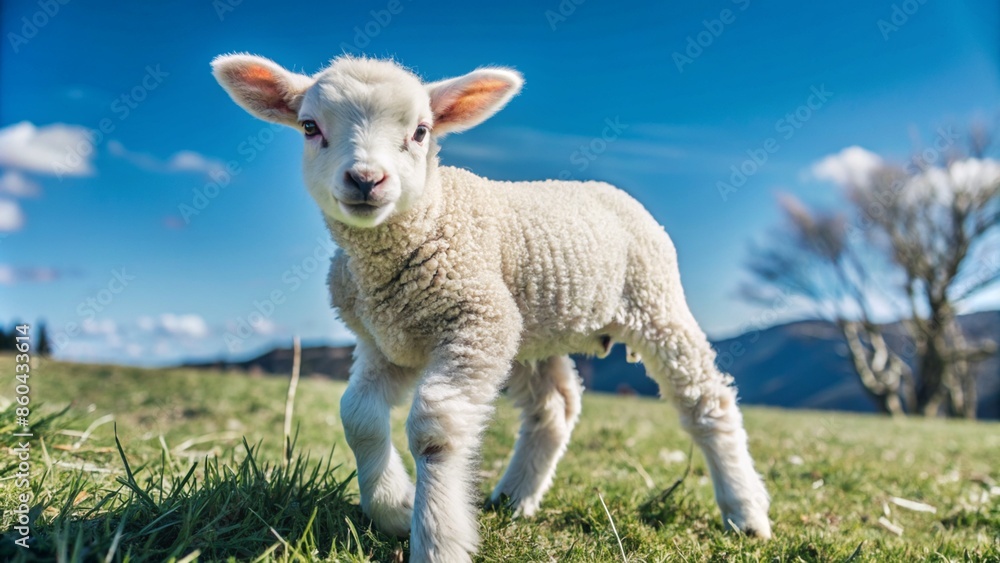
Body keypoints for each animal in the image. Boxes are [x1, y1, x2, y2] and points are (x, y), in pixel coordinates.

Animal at [212, 53, 772, 562]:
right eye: (310, 127)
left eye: (421, 131)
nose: (366, 180)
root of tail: (606, 189)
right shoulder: (385, 341)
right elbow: (358, 417)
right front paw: (394, 508)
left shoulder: (475, 322)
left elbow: (435, 430)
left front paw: (436, 539)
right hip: (530, 329)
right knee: (555, 407)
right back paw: (515, 498)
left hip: (654, 303)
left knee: (707, 401)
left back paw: (745, 512)